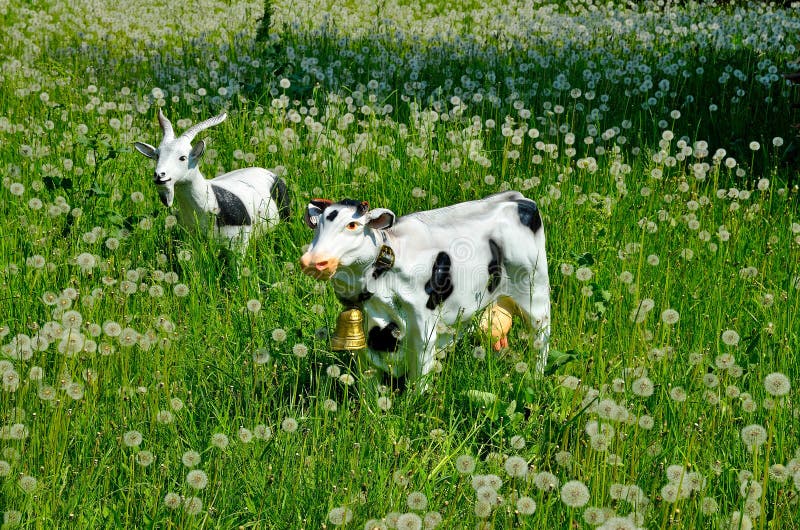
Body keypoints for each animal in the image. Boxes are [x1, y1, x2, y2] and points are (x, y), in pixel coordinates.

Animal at [299, 191, 551, 386]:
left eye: (352, 225)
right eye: (318, 226)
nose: (312, 261)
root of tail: (519, 199)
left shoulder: (423, 325)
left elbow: (419, 371)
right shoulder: (365, 326)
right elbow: (369, 372)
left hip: (535, 290)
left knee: (541, 336)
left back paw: (536, 377)